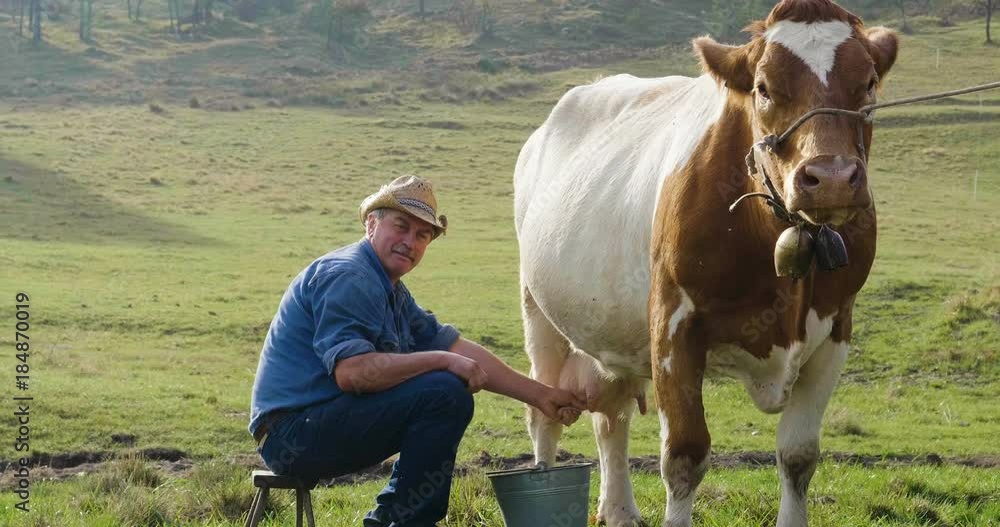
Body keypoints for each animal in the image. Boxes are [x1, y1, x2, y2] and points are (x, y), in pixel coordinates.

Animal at [513, 1, 898, 526]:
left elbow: (798, 455)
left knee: (611, 418)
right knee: (545, 417)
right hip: (540, 317)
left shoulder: (836, 329)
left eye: (869, 83)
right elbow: (684, 456)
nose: (833, 178)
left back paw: (620, 509)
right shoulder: (674, 326)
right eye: (763, 87)